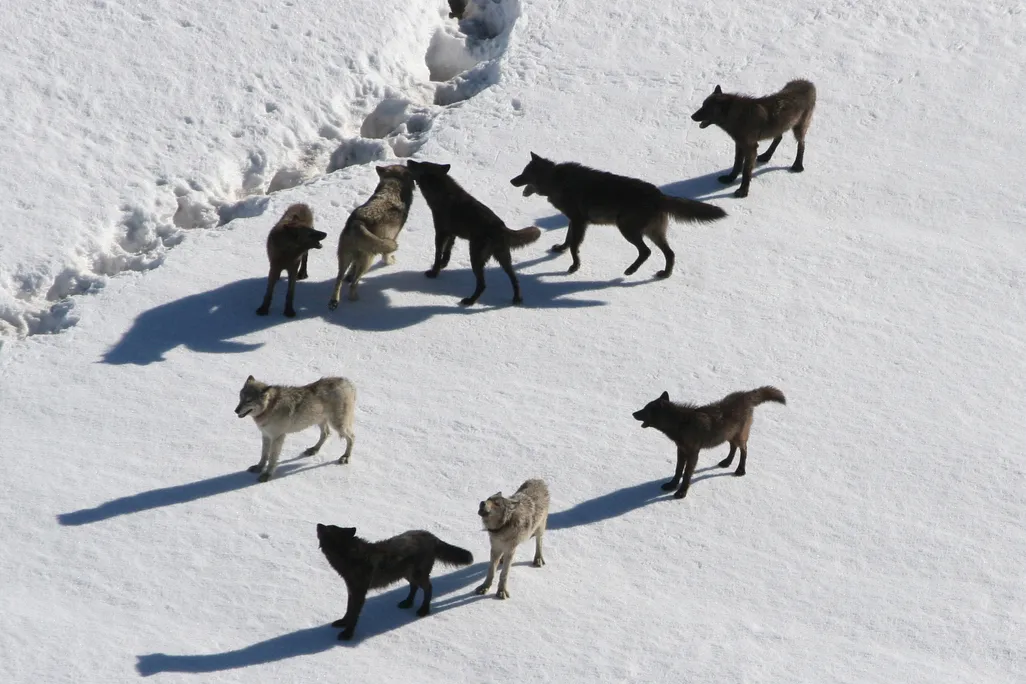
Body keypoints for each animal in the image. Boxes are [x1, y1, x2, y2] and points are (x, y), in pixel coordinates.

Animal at [316, 523, 473, 640]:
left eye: (327, 528)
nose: (318, 524)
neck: (350, 556)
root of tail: (432, 537)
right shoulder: (351, 590)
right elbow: (349, 610)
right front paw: (343, 623)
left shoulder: (359, 592)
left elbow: (354, 614)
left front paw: (347, 634)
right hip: (407, 574)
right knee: (414, 586)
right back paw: (407, 603)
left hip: (417, 574)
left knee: (429, 588)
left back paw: (423, 610)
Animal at [328, 165, 414, 309]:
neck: (392, 187)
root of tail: (358, 222)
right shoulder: (393, 237)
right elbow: (386, 256)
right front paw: (390, 262)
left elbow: (351, 270)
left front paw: (349, 276)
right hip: (368, 260)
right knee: (354, 284)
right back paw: (356, 300)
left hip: (344, 258)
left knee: (338, 279)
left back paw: (334, 302)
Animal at [407, 160, 541, 306]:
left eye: (419, 164)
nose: (408, 161)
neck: (441, 193)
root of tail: (501, 227)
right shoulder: (452, 234)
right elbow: (447, 252)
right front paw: (443, 265)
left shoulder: (441, 232)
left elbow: (438, 254)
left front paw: (434, 272)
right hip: (503, 259)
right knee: (514, 278)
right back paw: (517, 299)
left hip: (476, 257)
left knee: (483, 284)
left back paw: (469, 301)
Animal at [509, 153, 727, 278]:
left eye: (524, 174)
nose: (511, 181)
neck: (556, 180)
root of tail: (659, 195)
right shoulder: (575, 221)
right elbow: (568, 240)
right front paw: (560, 249)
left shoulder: (579, 221)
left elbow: (574, 246)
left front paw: (574, 266)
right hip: (653, 232)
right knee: (670, 253)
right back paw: (664, 274)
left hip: (626, 229)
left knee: (646, 251)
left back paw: (631, 270)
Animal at [632, 386, 786, 499]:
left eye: (644, 410)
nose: (633, 413)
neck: (681, 424)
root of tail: (745, 395)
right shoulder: (681, 450)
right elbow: (678, 470)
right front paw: (671, 485)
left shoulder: (693, 453)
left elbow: (687, 474)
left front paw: (681, 493)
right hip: (729, 436)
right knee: (733, 448)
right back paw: (726, 462)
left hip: (738, 437)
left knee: (744, 450)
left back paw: (740, 470)